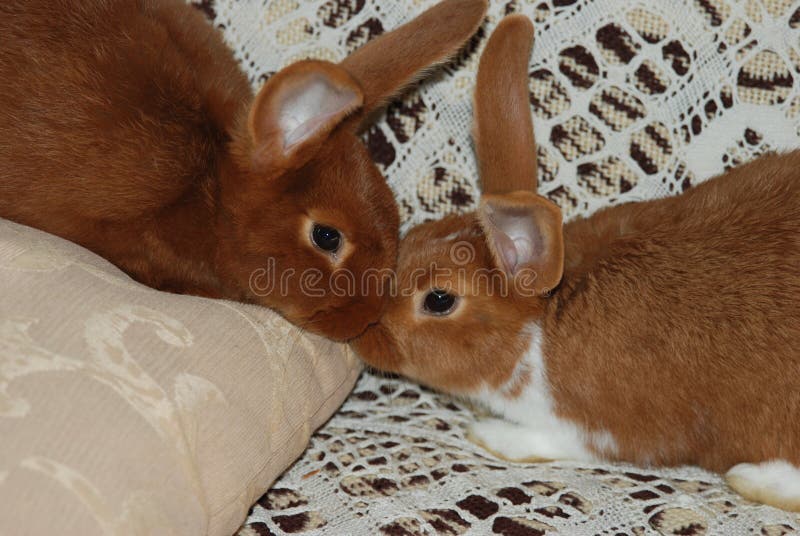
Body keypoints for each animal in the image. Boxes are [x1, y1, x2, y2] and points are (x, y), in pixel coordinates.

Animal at [352, 14, 800, 511]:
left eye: (438, 300)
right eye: (410, 239)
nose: (362, 336)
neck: (542, 317)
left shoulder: (605, 427)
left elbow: (557, 441)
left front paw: (489, 434)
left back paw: (751, 478)